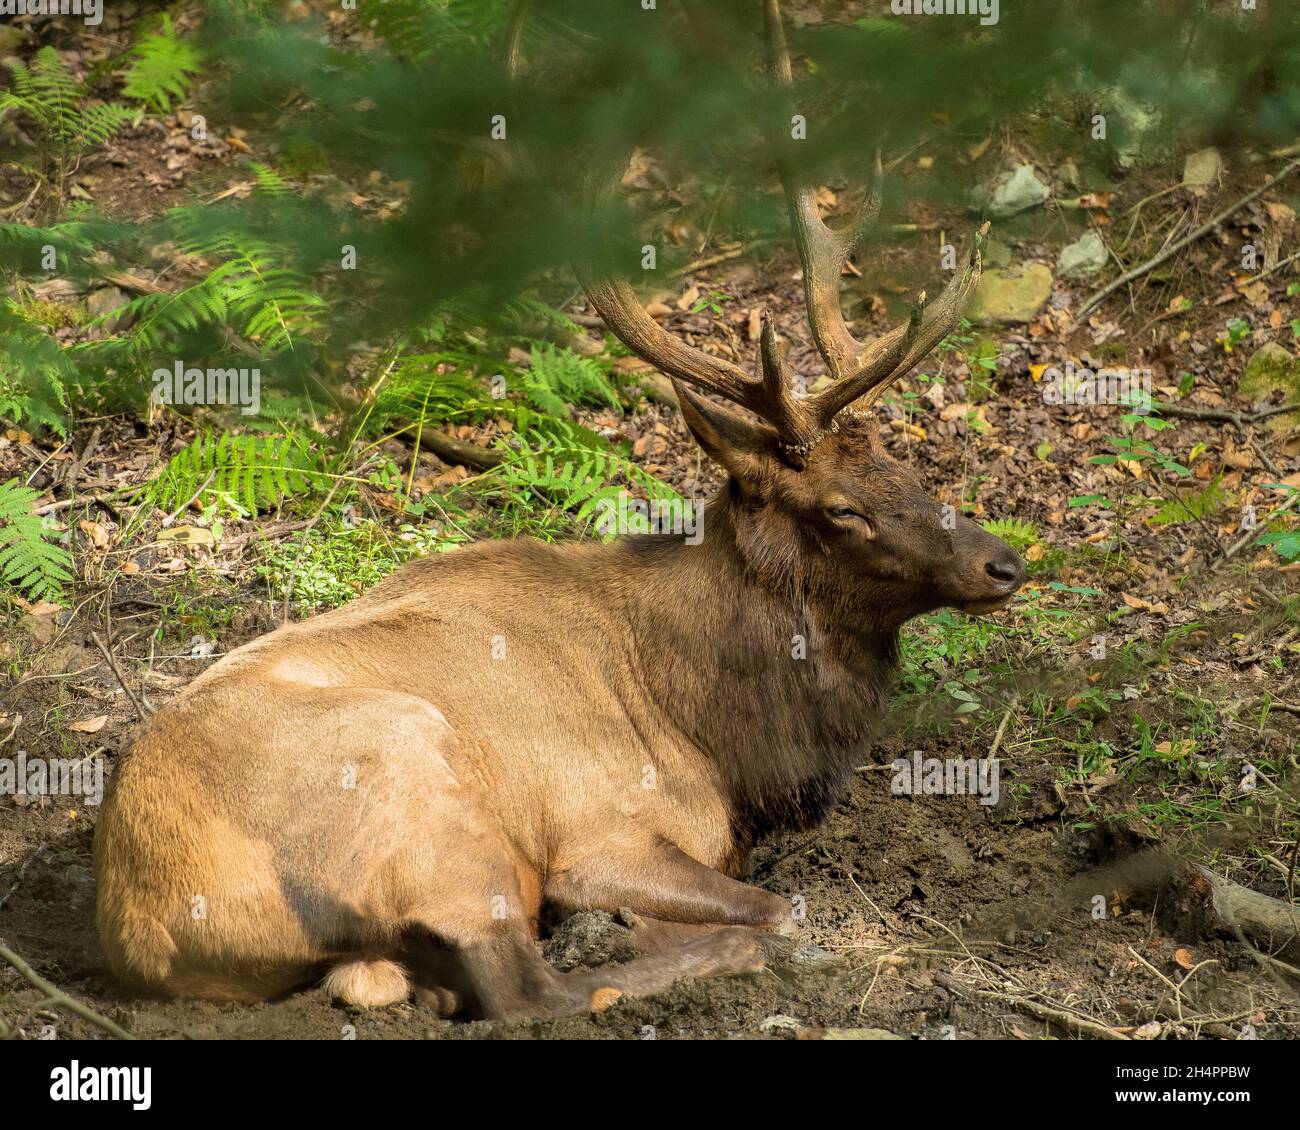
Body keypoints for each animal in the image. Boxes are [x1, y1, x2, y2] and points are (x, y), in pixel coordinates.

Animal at [93, 0, 1025, 1021]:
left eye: (903, 460)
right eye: (841, 509)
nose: (1004, 562)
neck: (716, 728)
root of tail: (147, 923)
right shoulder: (603, 830)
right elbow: (779, 903)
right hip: (423, 788)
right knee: (528, 988)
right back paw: (694, 955)